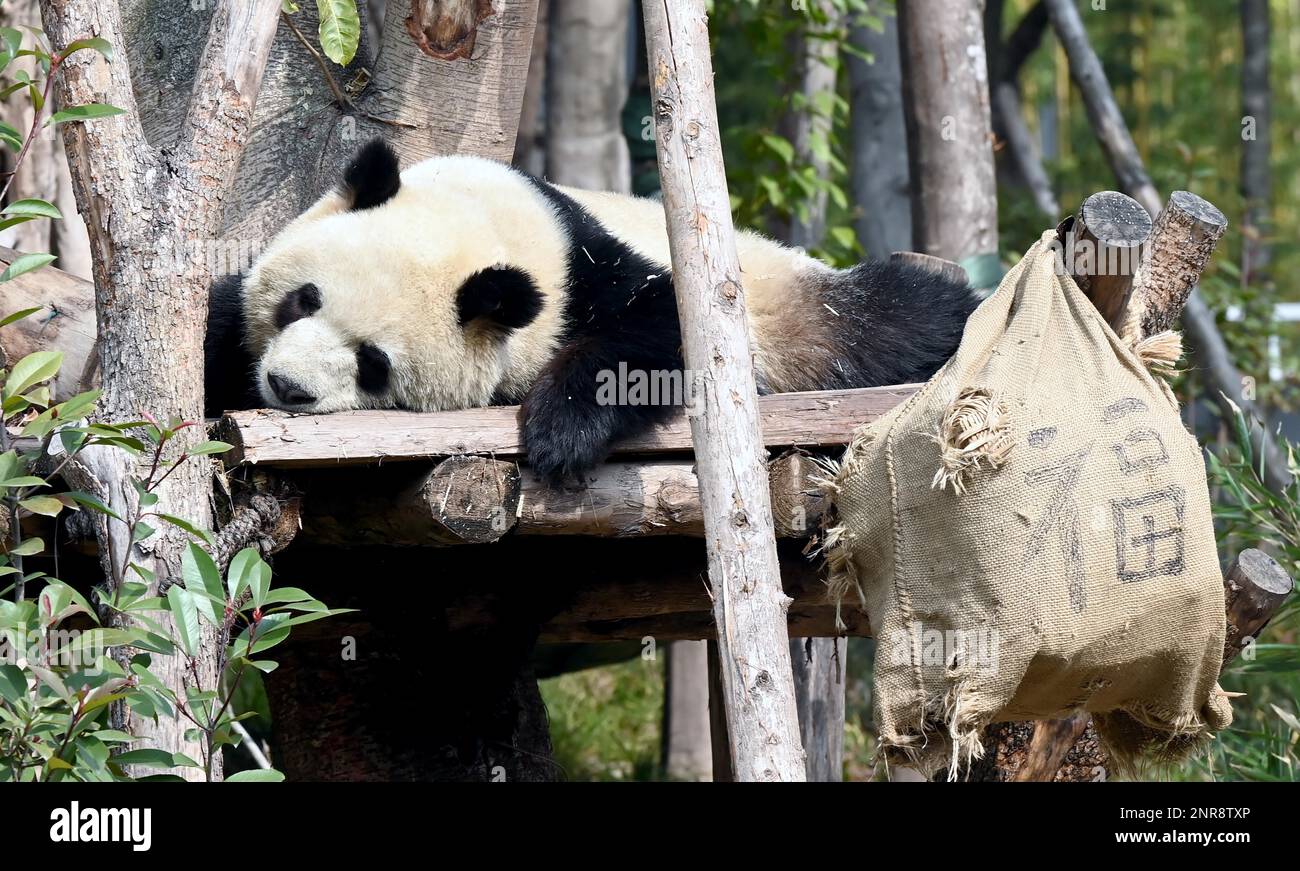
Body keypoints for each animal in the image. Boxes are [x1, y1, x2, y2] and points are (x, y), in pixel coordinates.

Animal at [205, 138, 976, 484]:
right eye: (303, 299)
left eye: (373, 363)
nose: (286, 386)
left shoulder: (597, 274)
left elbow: (669, 325)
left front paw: (559, 432)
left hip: (800, 309)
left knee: (895, 318)